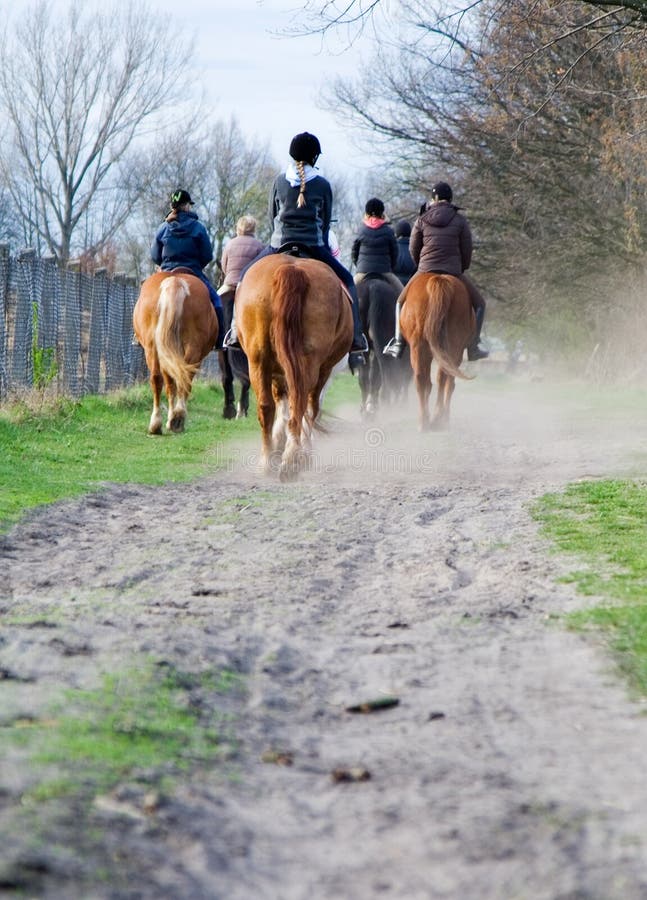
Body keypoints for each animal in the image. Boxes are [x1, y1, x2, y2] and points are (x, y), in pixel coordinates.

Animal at [133, 271, 218, 435]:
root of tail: (175, 280)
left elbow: (170, 384)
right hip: (192, 348)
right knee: (183, 379)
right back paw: (177, 417)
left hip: (153, 347)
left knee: (157, 378)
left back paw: (157, 423)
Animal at [234, 251, 353, 480]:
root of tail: (291, 268)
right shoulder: (323, 371)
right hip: (312, 366)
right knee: (303, 403)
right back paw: (293, 459)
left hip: (258, 361)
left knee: (267, 406)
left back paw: (270, 461)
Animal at [399, 272, 475, 431]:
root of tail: (438, 279)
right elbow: (449, 384)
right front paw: (445, 417)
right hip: (452, 347)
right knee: (443, 378)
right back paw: (436, 418)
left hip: (419, 346)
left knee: (422, 379)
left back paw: (424, 421)